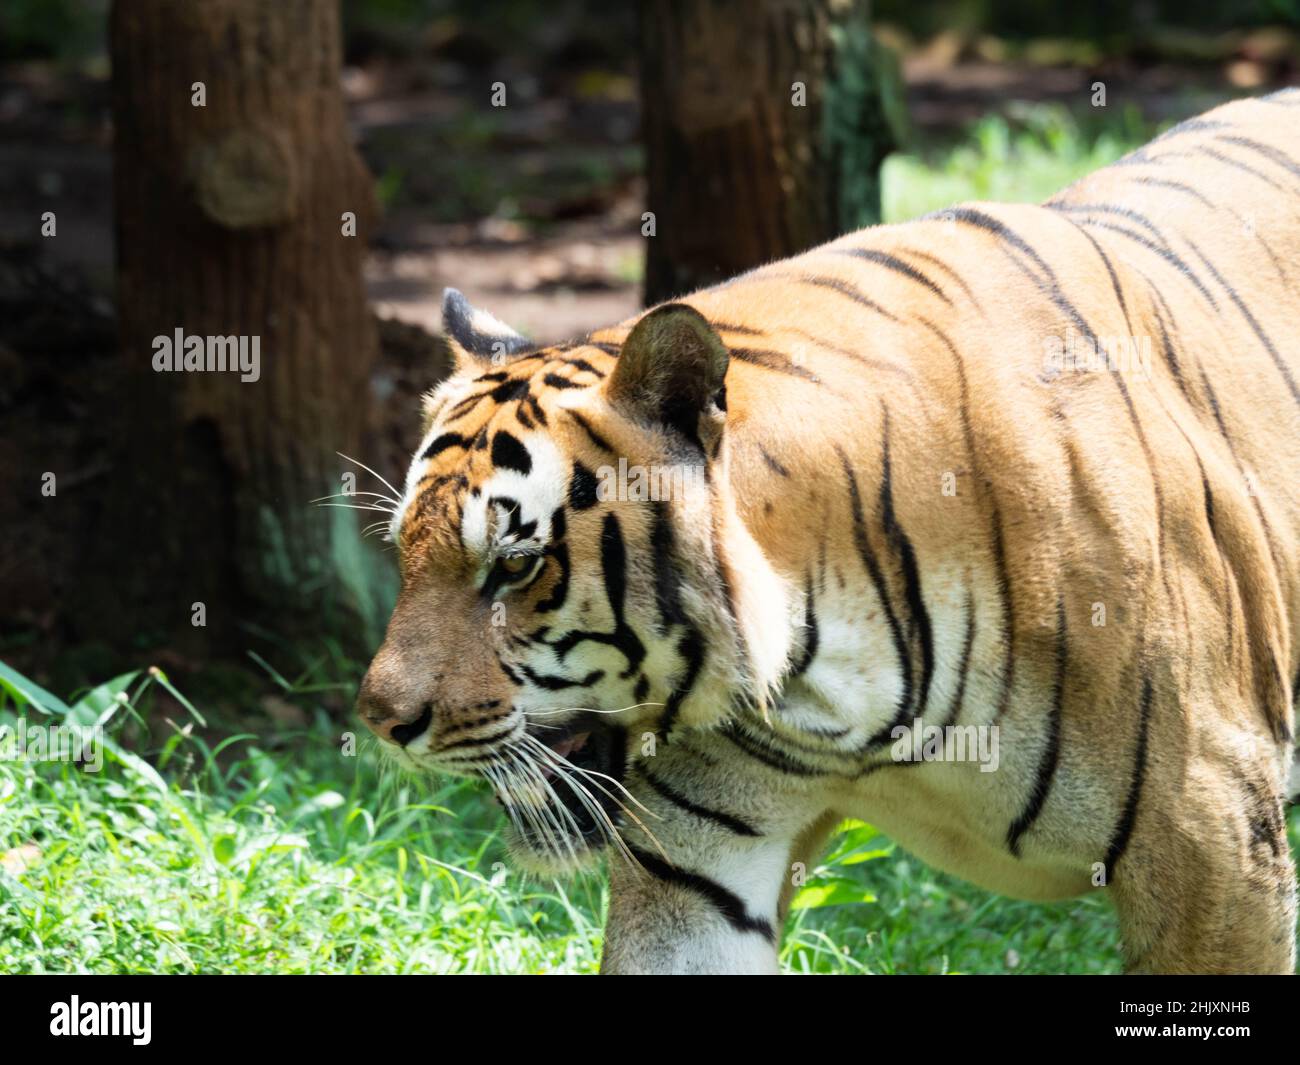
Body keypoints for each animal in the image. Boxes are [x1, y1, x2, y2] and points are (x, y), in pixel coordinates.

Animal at [357, 90, 1300, 974]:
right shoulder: (694, 866)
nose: (380, 722)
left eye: (516, 566)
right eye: (404, 552)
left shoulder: (1211, 841)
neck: (828, 683)